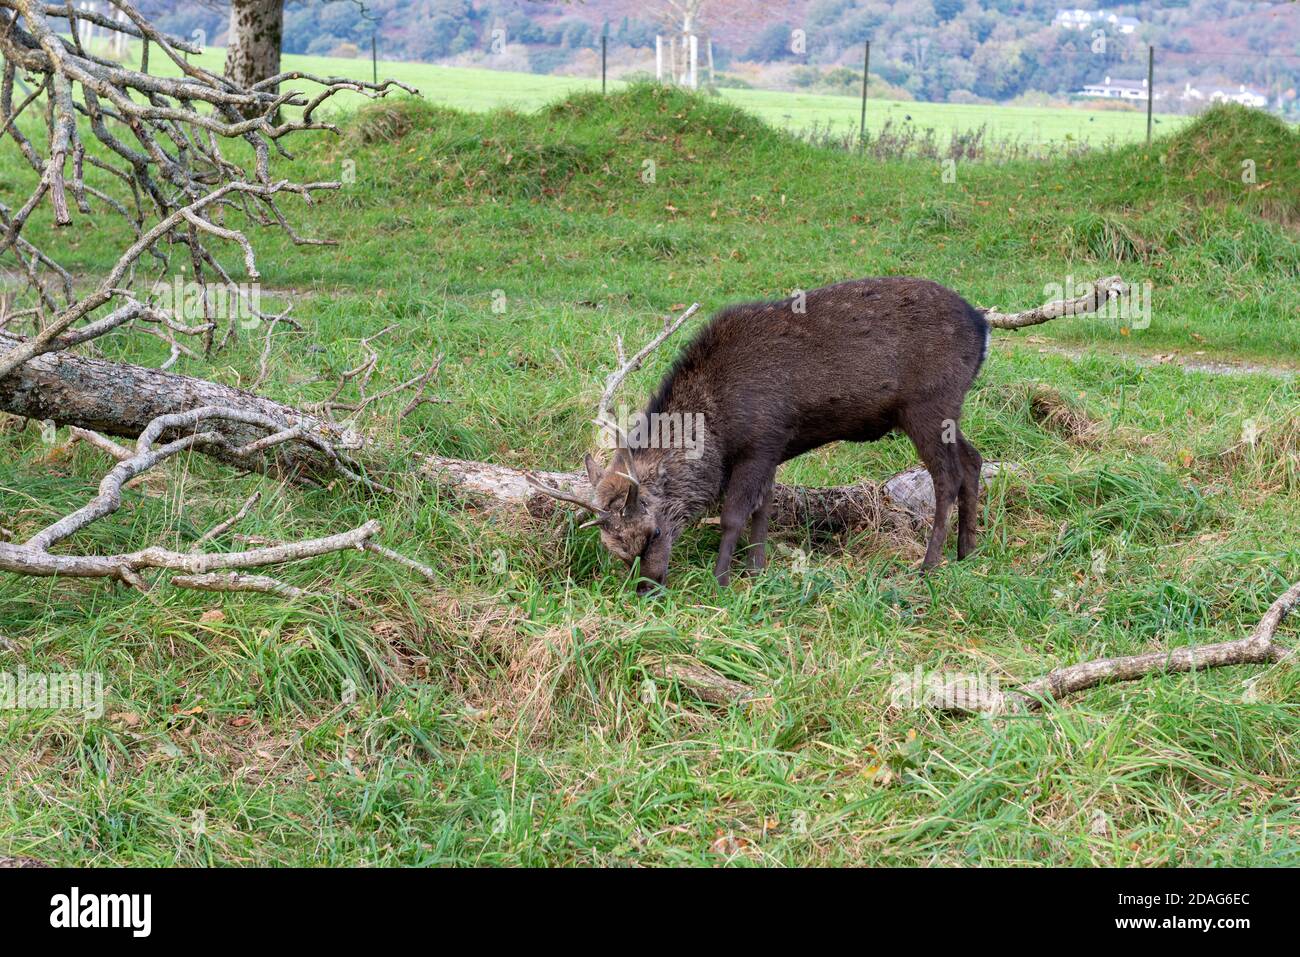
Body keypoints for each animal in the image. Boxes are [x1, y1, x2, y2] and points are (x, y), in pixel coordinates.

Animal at [529, 277, 990, 594]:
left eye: (655, 532)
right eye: (617, 552)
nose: (648, 588)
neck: (718, 428)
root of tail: (983, 326)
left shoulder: (761, 440)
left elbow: (734, 514)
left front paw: (722, 580)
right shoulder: (773, 447)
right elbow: (762, 510)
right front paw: (756, 569)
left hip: (928, 403)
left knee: (947, 476)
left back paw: (929, 565)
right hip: (947, 409)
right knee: (973, 460)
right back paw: (967, 552)